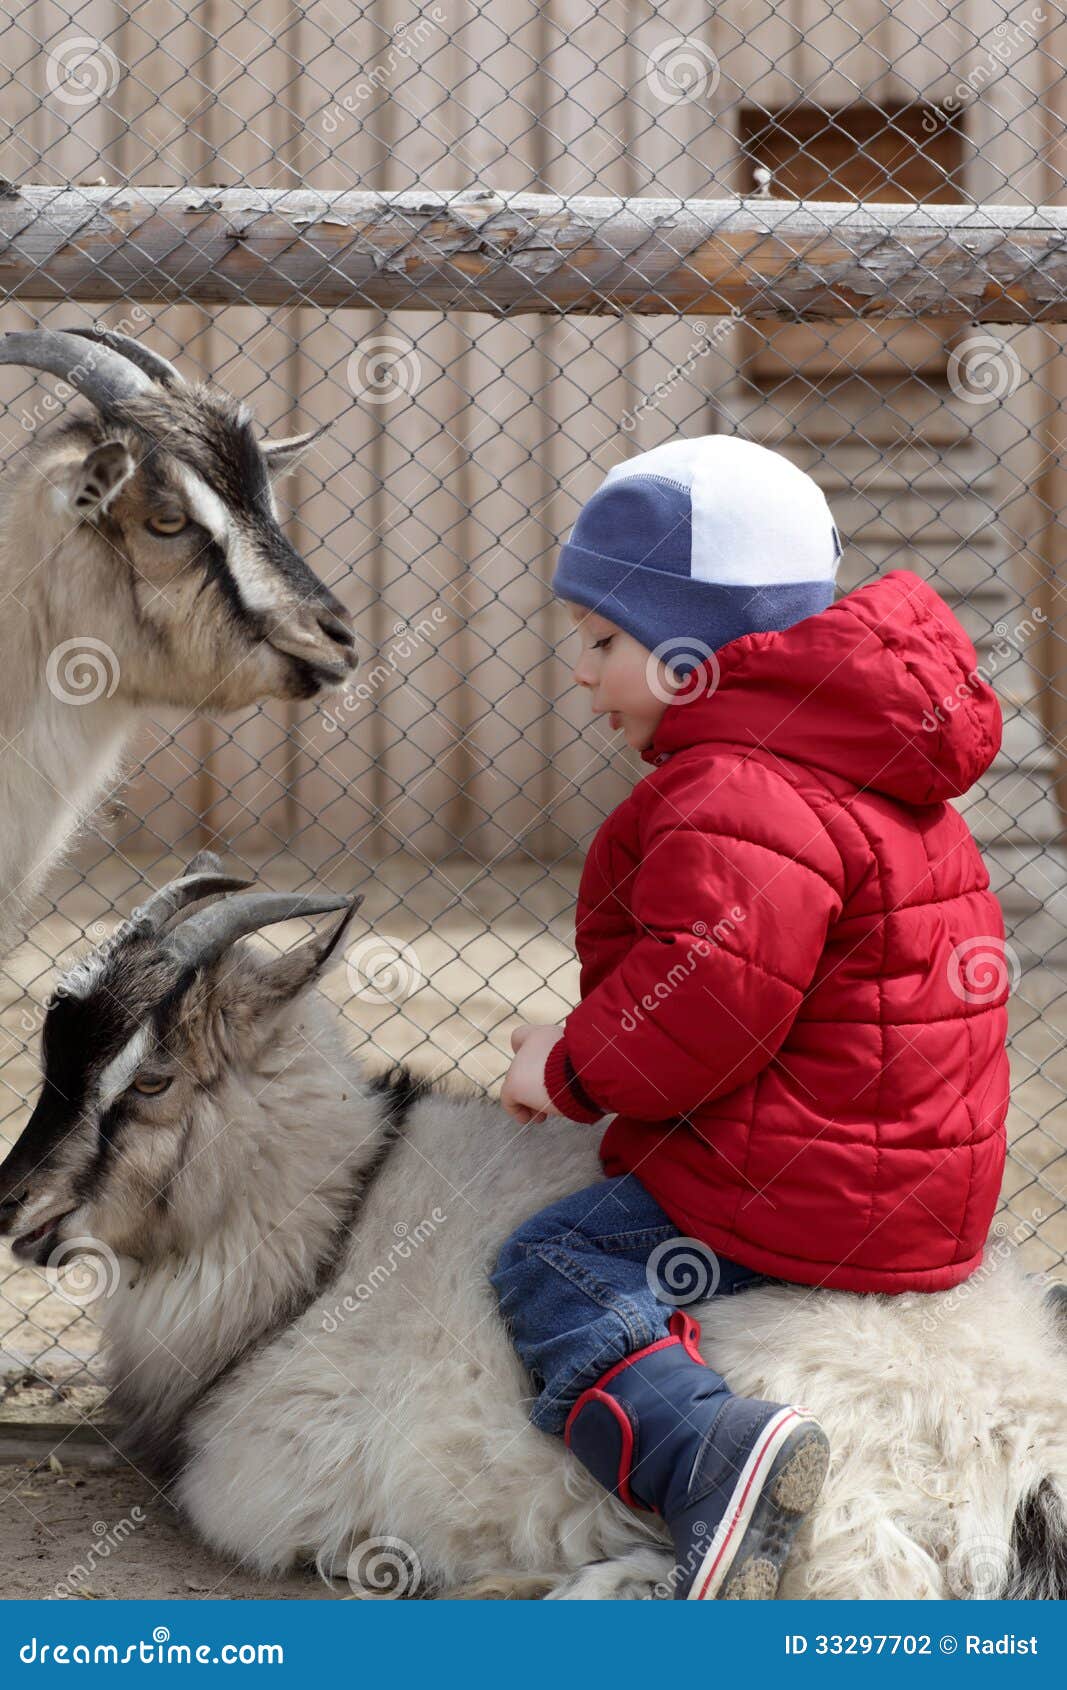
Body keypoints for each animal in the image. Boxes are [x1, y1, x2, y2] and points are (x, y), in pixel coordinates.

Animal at [1, 858, 1065, 1600]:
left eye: (151, 1080)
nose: (14, 1208)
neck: (328, 1235)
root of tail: (1028, 1434)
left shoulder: (273, 1484)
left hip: (827, 1451)